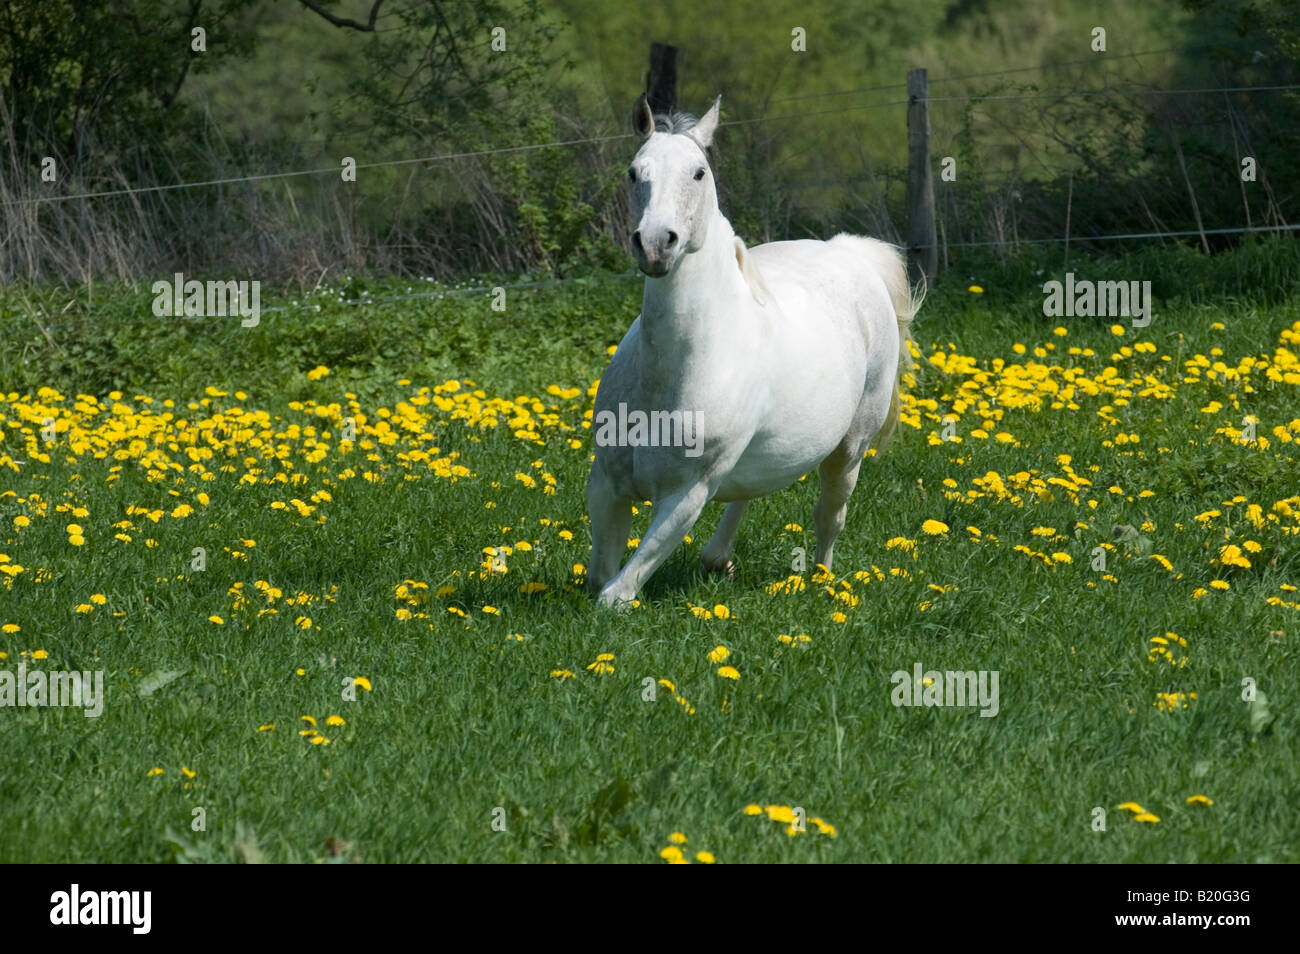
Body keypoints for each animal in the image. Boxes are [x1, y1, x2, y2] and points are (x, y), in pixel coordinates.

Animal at [586, 93, 922, 609]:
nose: (656, 245)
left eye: (699, 173)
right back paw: (718, 559)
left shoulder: (685, 496)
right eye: (633, 171)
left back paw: (821, 582)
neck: (671, 374)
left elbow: (615, 593)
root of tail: (848, 252)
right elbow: (599, 574)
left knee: (830, 514)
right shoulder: (607, 483)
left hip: (850, 449)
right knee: (748, 491)